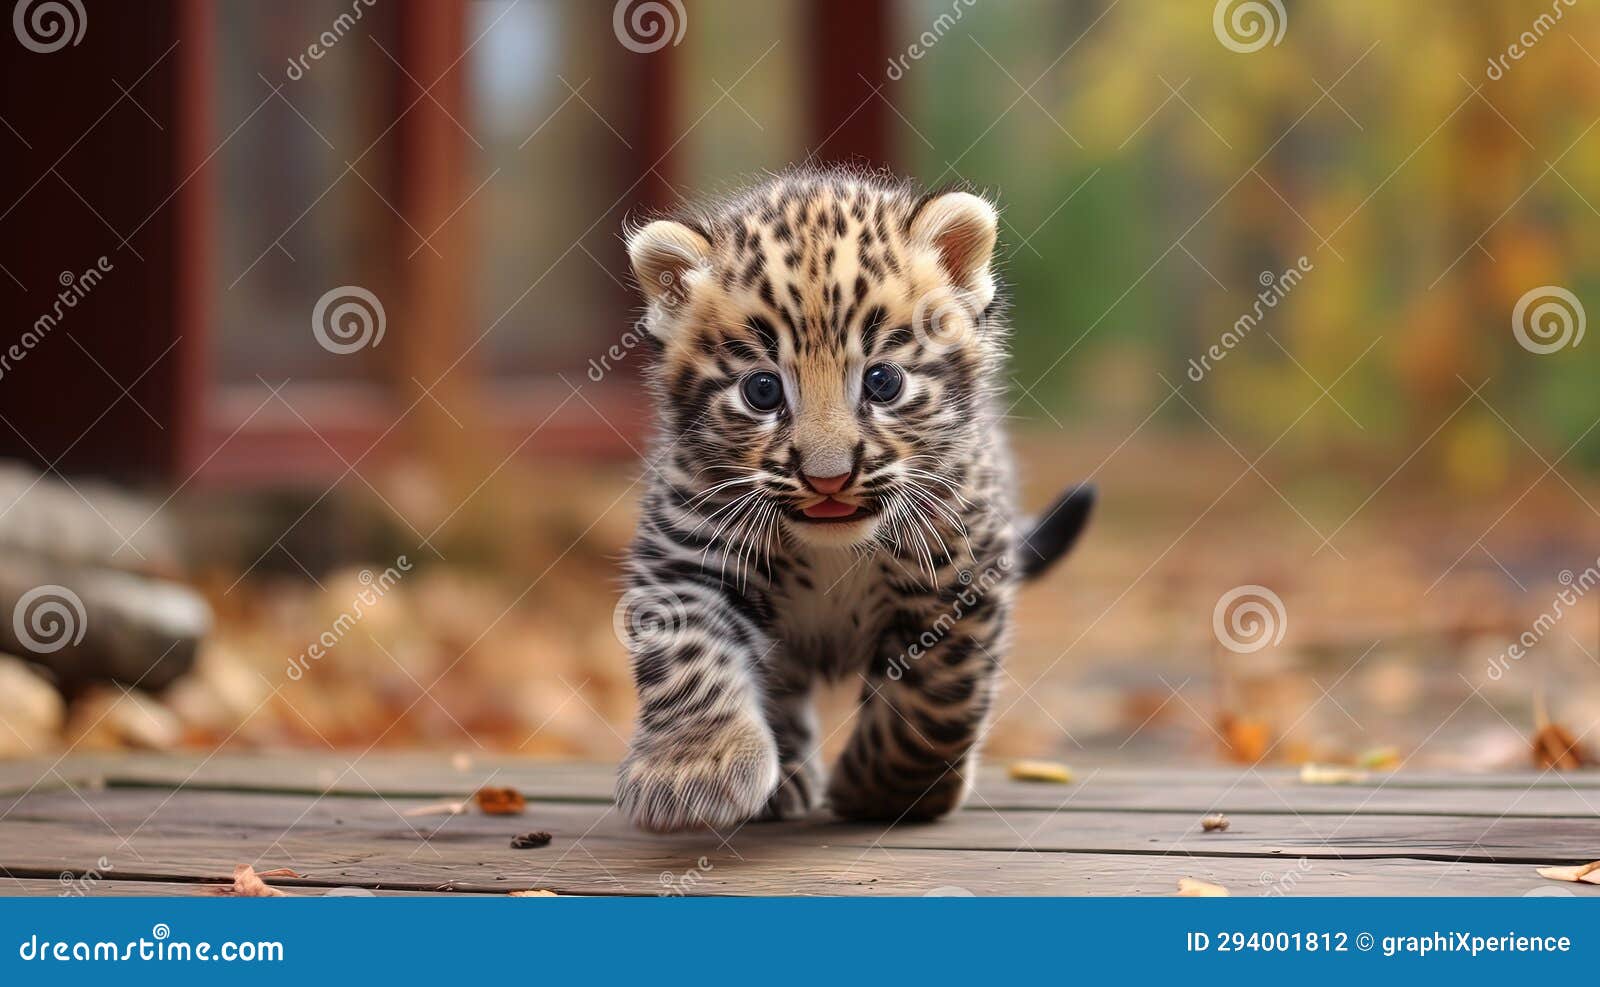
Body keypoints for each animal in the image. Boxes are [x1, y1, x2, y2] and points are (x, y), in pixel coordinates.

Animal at [613, 166, 1093, 833]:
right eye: (762, 391)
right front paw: (694, 770)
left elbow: (936, 700)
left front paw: (882, 792)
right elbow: (690, 660)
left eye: (883, 382)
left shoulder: (958, 578)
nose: (828, 478)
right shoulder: (685, 555)